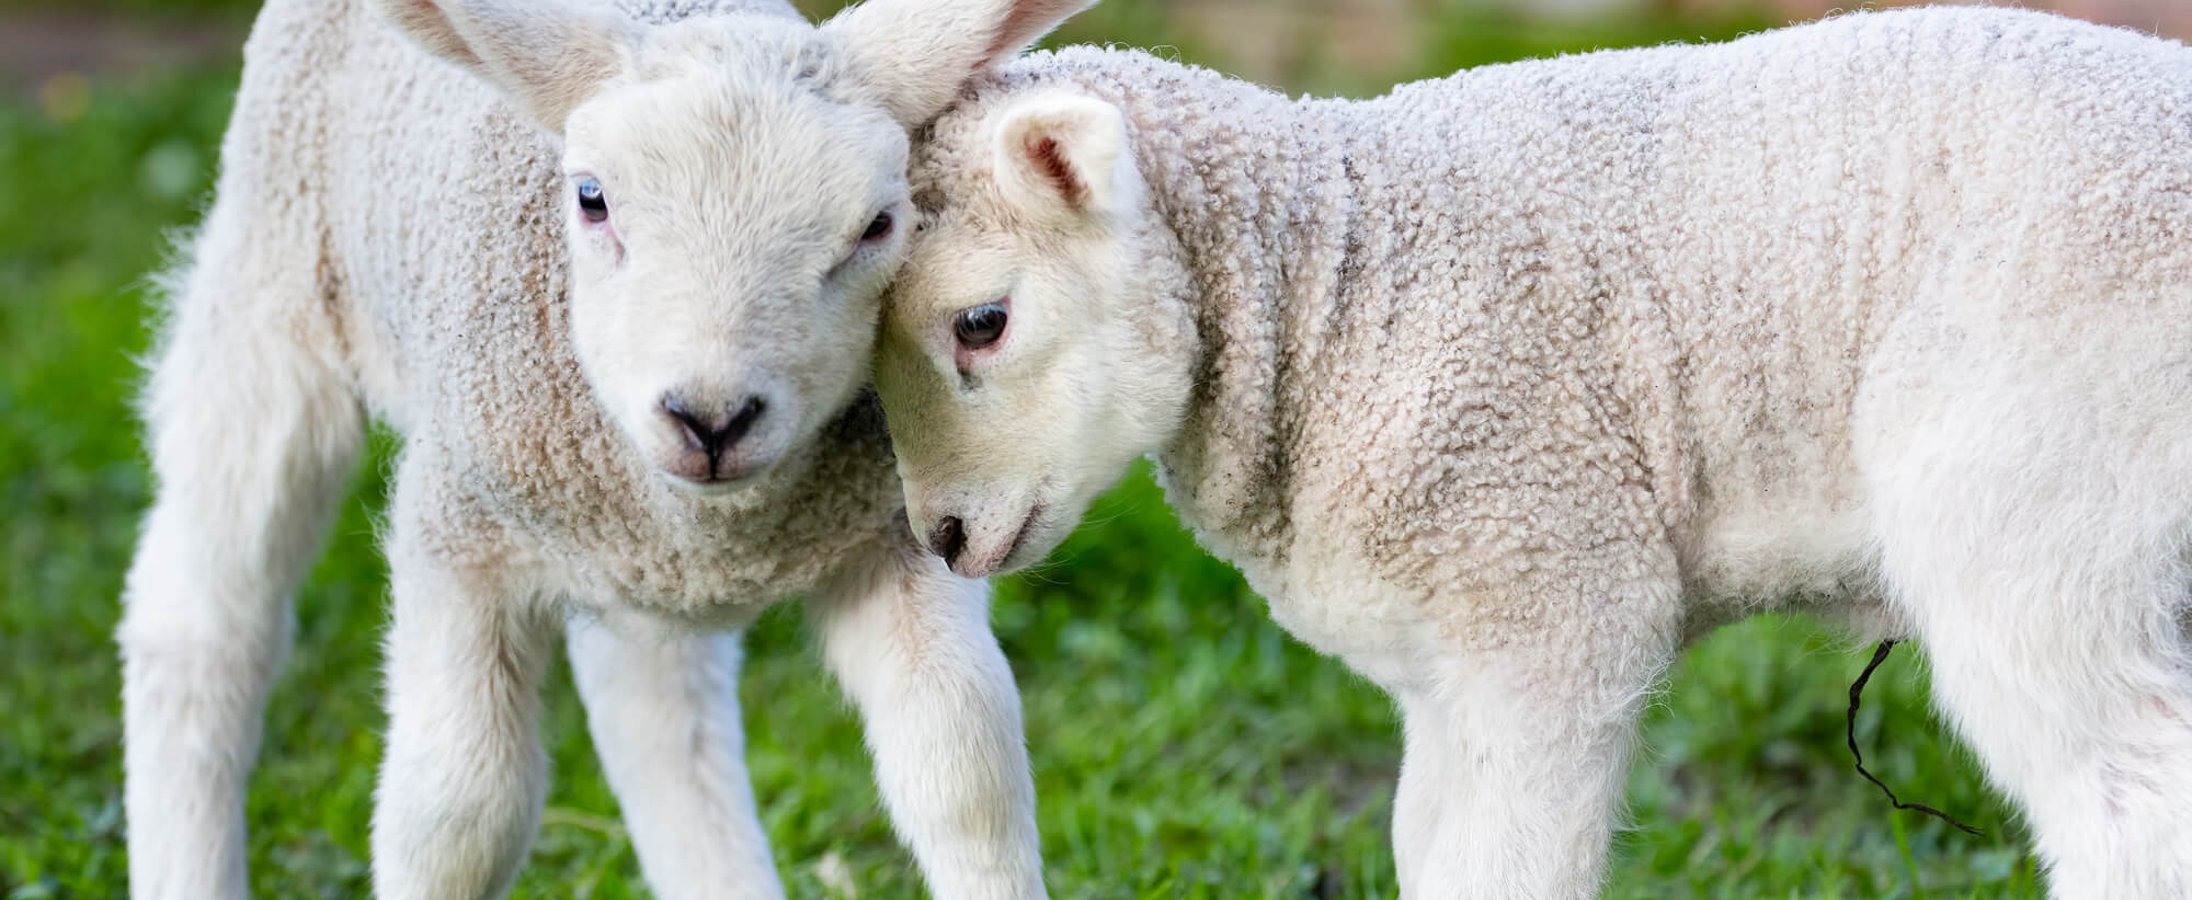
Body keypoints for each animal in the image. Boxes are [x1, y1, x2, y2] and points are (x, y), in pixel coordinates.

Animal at [115, 0, 1091, 896]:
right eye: (592, 199)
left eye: (879, 227)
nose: (710, 419)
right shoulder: (458, 533)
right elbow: (457, 812)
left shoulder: (890, 532)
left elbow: (966, 769)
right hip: (273, 283)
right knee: (201, 628)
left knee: (655, 711)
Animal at [872, 6, 2192, 897]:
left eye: (980, 322)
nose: (943, 536)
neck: (1333, 283)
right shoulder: (1442, 666)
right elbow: (1430, 855)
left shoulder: (1549, 596)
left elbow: (1505, 870)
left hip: (2032, 483)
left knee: (2130, 797)